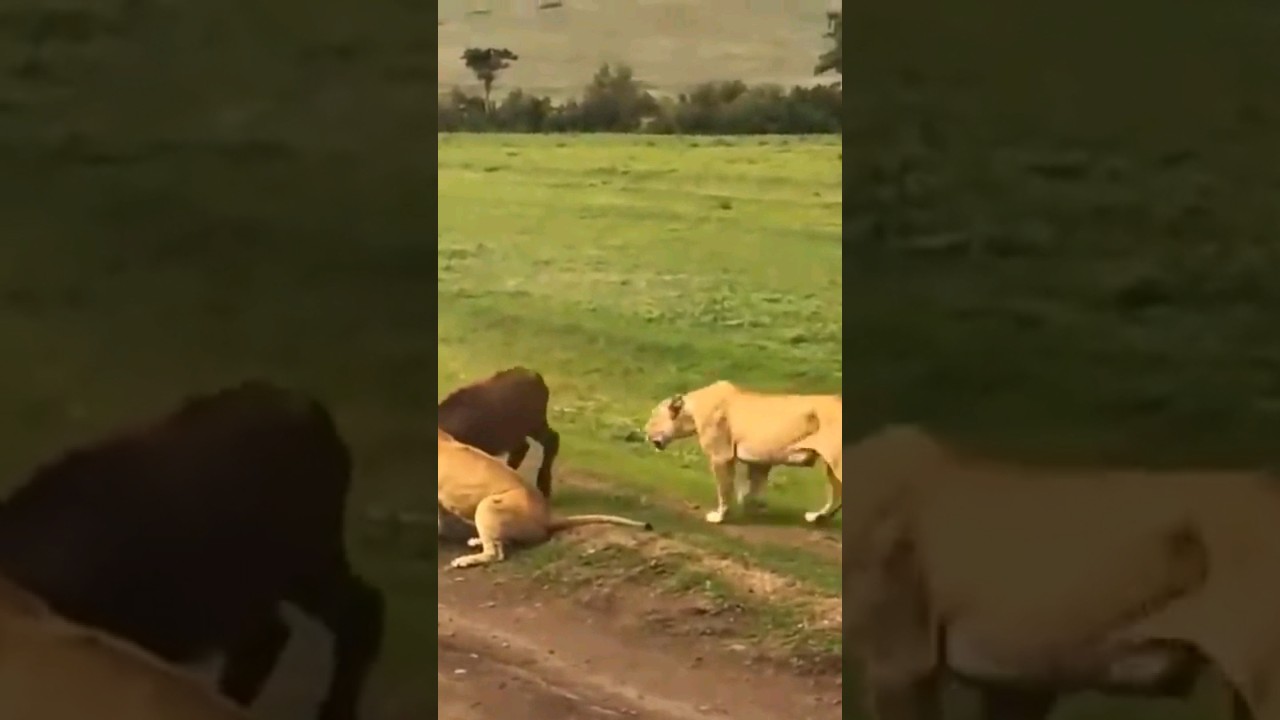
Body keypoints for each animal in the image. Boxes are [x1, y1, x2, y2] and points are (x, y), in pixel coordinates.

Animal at [643, 381, 842, 525]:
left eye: (653, 416)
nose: (645, 432)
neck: (692, 410)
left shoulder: (721, 456)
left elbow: (724, 488)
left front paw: (720, 516)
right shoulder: (761, 459)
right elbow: (754, 486)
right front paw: (754, 506)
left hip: (837, 463)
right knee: (836, 495)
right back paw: (818, 517)